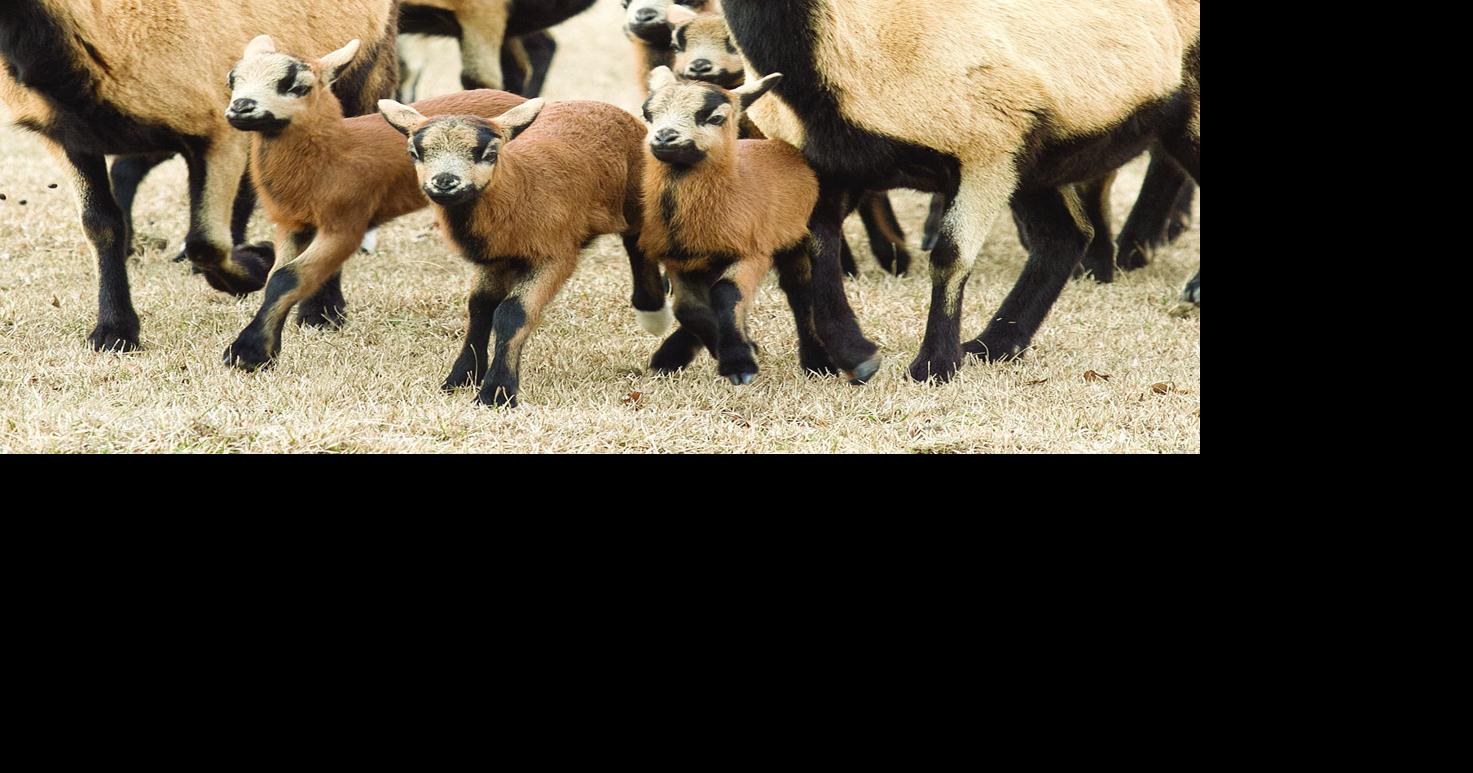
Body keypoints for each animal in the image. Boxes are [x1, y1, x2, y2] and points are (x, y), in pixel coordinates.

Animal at [0, 0, 401, 352]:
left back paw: (322, 311)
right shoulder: (68, 136)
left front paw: (255, 267)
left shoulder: (218, 126)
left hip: (364, 75)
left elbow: (205, 241)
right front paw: (114, 332)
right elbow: (101, 225)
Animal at [377, 96, 670, 408]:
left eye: (490, 154)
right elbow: (479, 307)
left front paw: (497, 392)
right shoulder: (496, 258)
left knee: (639, 244)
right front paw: (462, 377)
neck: (519, 189)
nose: (445, 182)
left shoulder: (555, 256)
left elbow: (513, 312)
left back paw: (653, 310)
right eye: (414, 153)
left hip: (638, 197)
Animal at [639, 67, 843, 385]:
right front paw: (734, 349)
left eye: (715, 118)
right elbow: (689, 309)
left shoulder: (752, 253)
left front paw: (739, 363)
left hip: (795, 240)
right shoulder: (679, 261)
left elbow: (726, 294)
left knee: (800, 292)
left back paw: (818, 364)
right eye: (647, 114)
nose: (664, 137)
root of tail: (778, 144)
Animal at [722, 0, 1201, 382]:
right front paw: (850, 354)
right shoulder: (826, 167)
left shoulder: (988, 149)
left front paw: (933, 367)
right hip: (1039, 162)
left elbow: (949, 257)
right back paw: (995, 346)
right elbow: (816, 255)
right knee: (1065, 236)